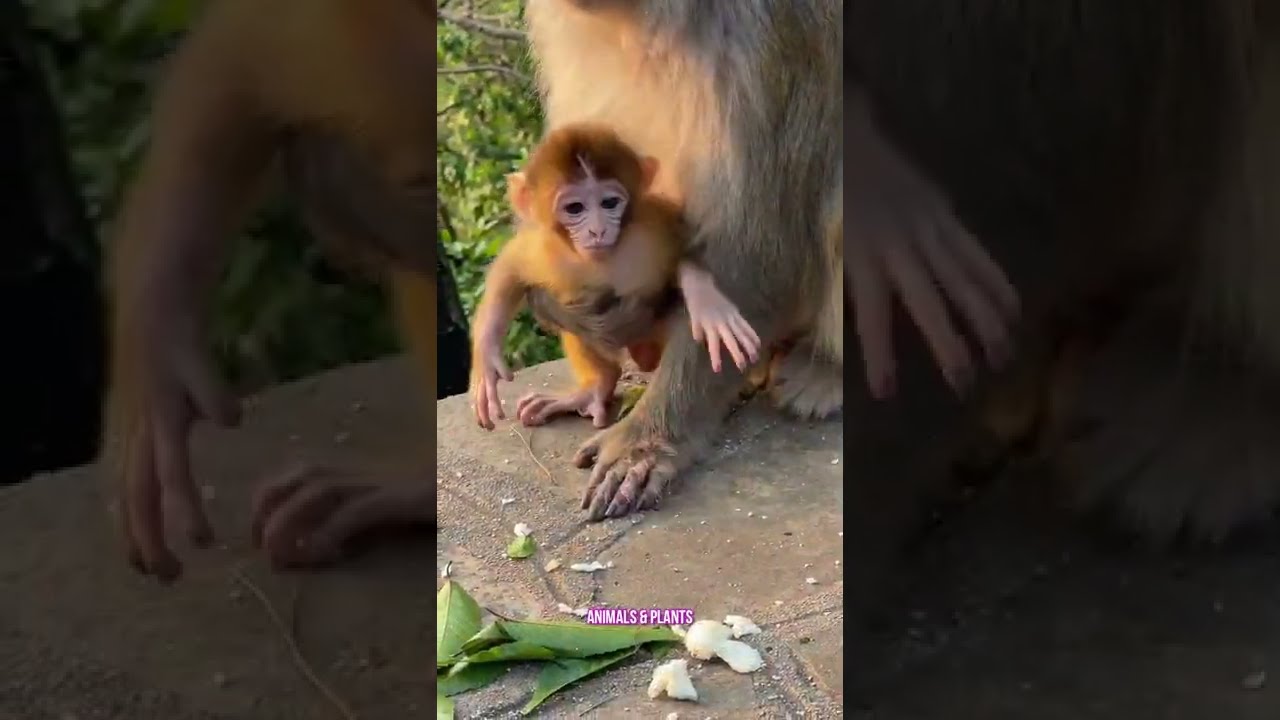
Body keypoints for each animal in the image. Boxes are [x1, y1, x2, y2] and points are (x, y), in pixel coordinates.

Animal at [470, 123, 761, 431]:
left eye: (609, 203)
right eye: (575, 208)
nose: (597, 230)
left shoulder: (650, 229)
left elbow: (685, 251)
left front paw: (706, 302)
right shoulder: (546, 251)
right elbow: (510, 270)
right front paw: (486, 360)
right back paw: (595, 387)